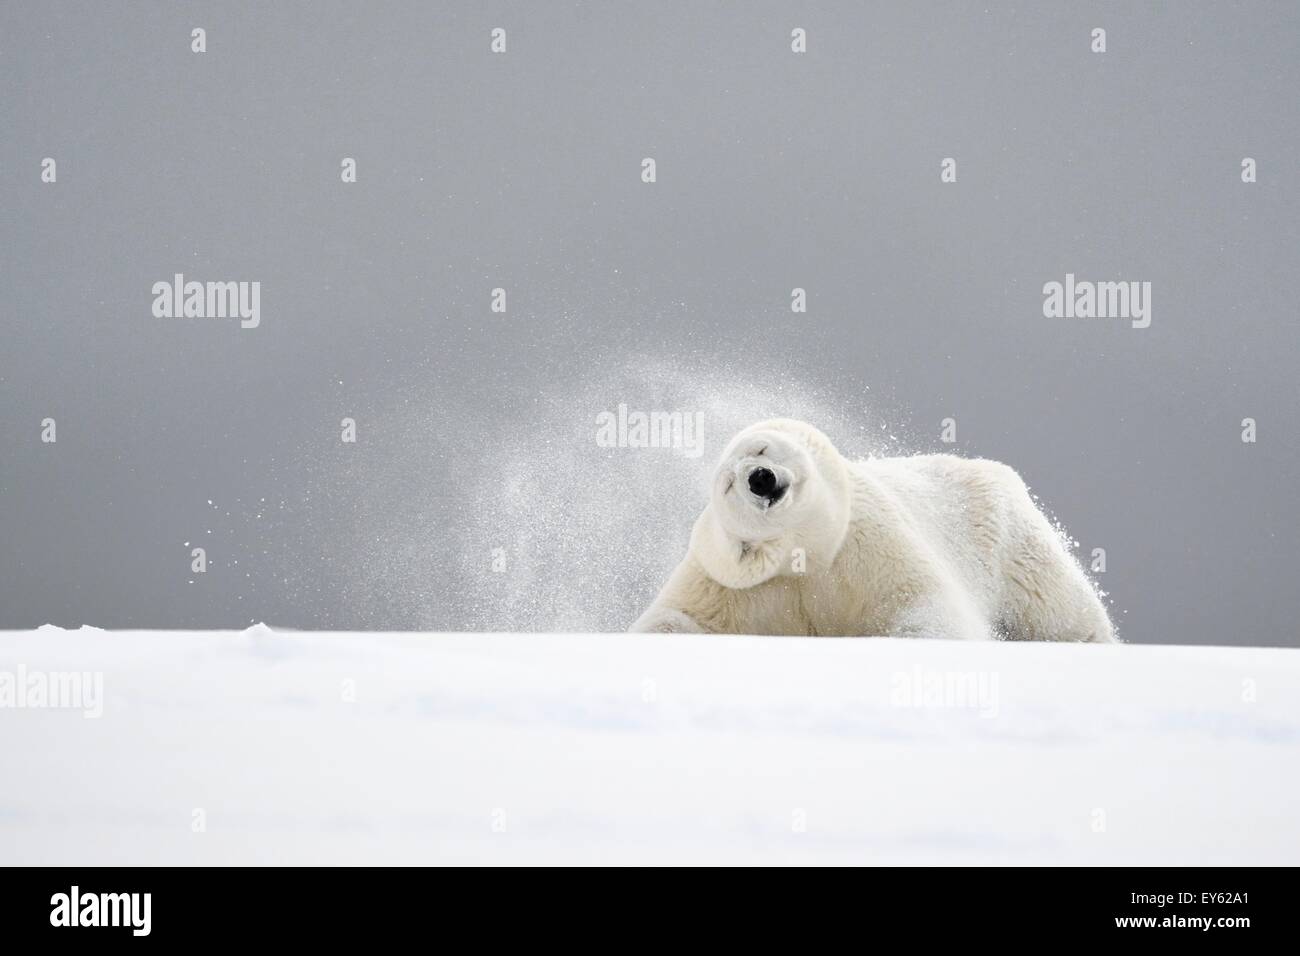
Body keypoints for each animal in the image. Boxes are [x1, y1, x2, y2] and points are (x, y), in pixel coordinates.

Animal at [630, 418, 1116, 642]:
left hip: (1007, 538)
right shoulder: (735, 582)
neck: (808, 550)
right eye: (728, 483)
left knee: (1055, 608)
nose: (760, 478)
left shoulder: (864, 542)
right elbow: (681, 614)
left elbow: (922, 600)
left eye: (761, 449)